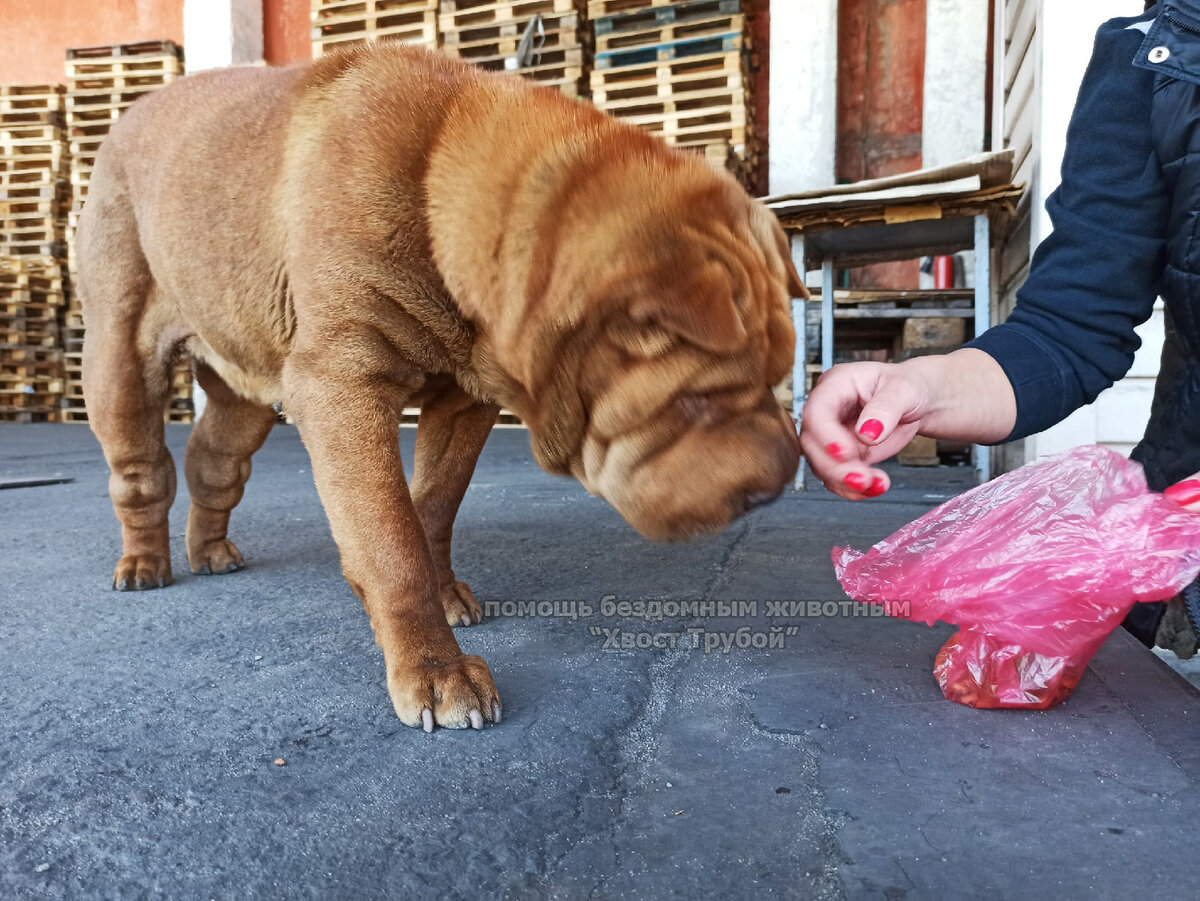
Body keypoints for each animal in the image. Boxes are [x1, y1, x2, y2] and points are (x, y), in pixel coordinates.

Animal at [82, 44, 806, 734]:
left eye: (777, 378)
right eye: (697, 401)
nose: (780, 481)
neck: (436, 192)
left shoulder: (465, 401)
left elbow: (432, 505)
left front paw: (446, 595)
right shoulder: (342, 383)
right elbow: (390, 538)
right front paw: (437, 671)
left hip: (244, 385)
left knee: (214, 461)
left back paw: (209, 550)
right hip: (120, 356)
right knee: (141, 472)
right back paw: (143, 565)